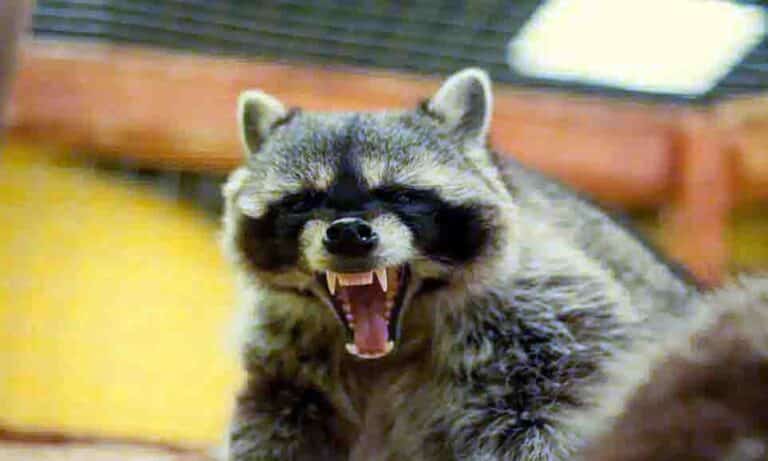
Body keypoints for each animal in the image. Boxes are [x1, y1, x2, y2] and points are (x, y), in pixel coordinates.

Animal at [221, 68, 697, 460]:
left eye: (401, 195)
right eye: (303, 202)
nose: (348, 233)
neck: (392, 346)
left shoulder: (547, 319)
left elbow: (549, 417)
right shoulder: (286, 360)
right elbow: (274, 423)